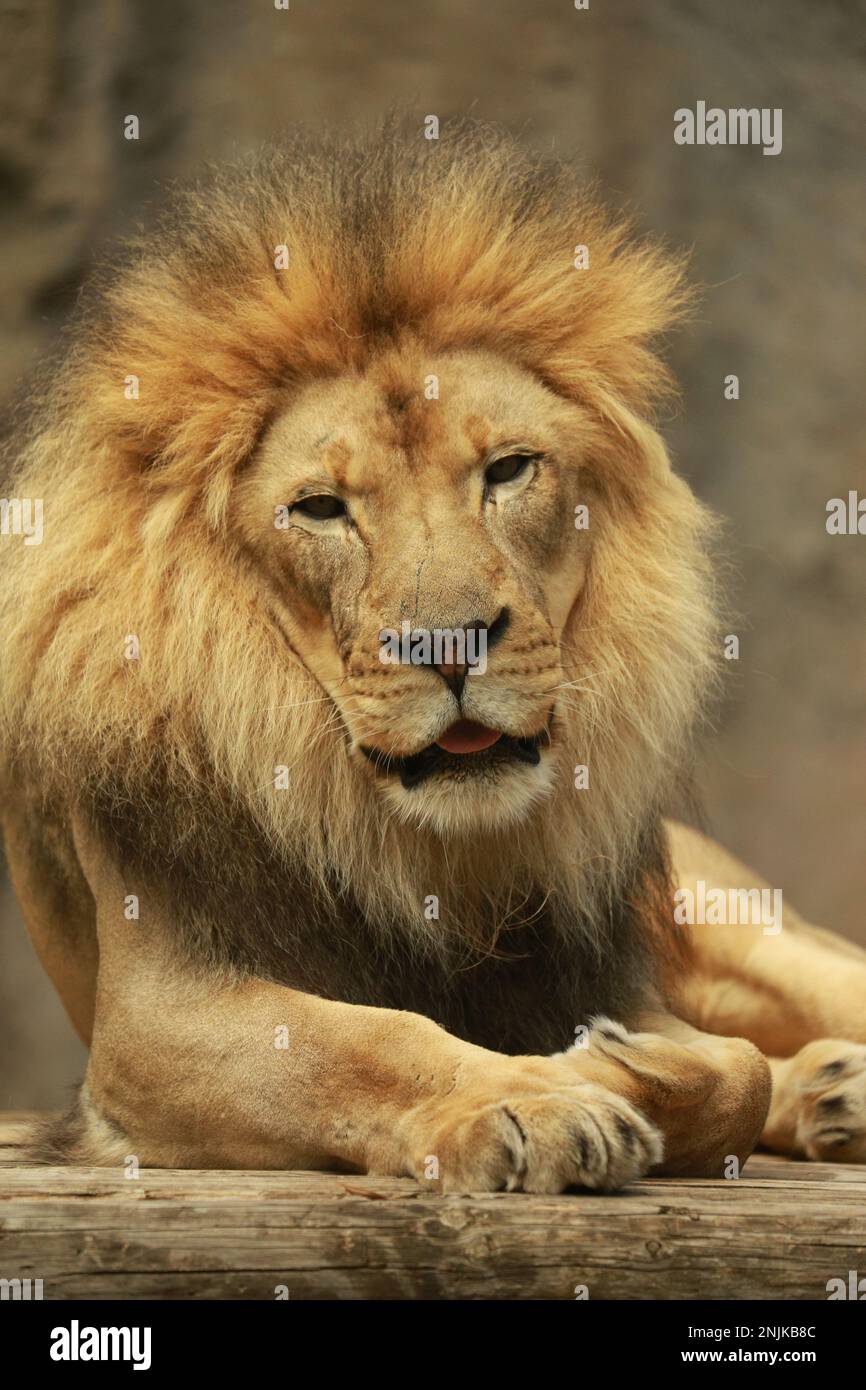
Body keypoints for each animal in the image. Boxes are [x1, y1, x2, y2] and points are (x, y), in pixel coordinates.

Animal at [1, 121, 864, 1190]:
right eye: (321, 508)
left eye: (509, 470)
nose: (449, 646)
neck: (429, 853)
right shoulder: (156, 1015)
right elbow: (370, 1041)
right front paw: (537, 1096)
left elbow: (735, 1069)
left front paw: (611, 1065)